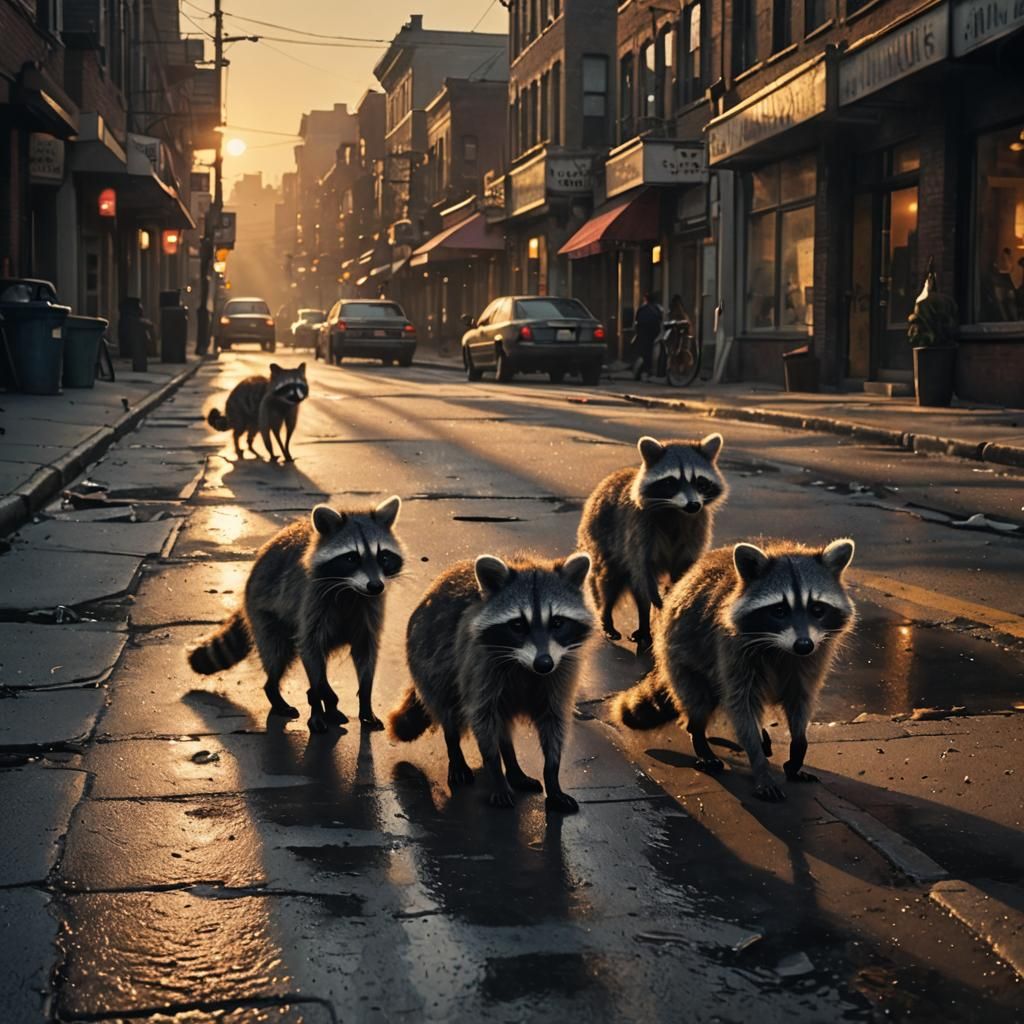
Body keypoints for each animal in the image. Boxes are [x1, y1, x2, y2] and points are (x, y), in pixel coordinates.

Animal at [189, 496, 404, 733]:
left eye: (383, 556)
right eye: (351, 558)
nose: (376, 586)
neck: (350, 590)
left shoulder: (368, 609)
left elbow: (366, 653)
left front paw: (365, 701)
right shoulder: (311, 603)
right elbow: (309, 649)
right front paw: (323, 698)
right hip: (266, 613)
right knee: (277, 654)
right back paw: (284, 694)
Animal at [388, 551, 594, 813]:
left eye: (557, 622)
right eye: (518, 624)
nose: (544, 664)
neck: (525, 666)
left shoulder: (559, 673)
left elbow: (554, 720)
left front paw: (552, 774)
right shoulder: (477, 667)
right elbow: (482, 718)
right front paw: (496, 771)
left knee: (502, 726)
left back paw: (513, 766)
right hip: (429, 659)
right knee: (448, 707)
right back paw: (456, 748)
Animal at [577, 433, 727, 653]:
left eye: (700, 481)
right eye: (671, 482)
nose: (693, 504)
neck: (675, 511)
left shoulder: (697, 525)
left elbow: (684, 567)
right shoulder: (638, 528)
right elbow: (643, 572)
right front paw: (651, 609)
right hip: (601, 536)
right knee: (611, 581)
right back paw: (611, 616)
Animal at [616, 538, 856, 801]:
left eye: (817, 609)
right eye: (779, 610)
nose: (803, 645)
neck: (780, 647)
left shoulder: (811, 657)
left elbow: (800, 699)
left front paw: (799, 746)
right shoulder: (732, 650)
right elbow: (741, 705)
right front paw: (760, 766)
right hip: (680, 653)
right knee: (698, 701)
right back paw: (700, 738)